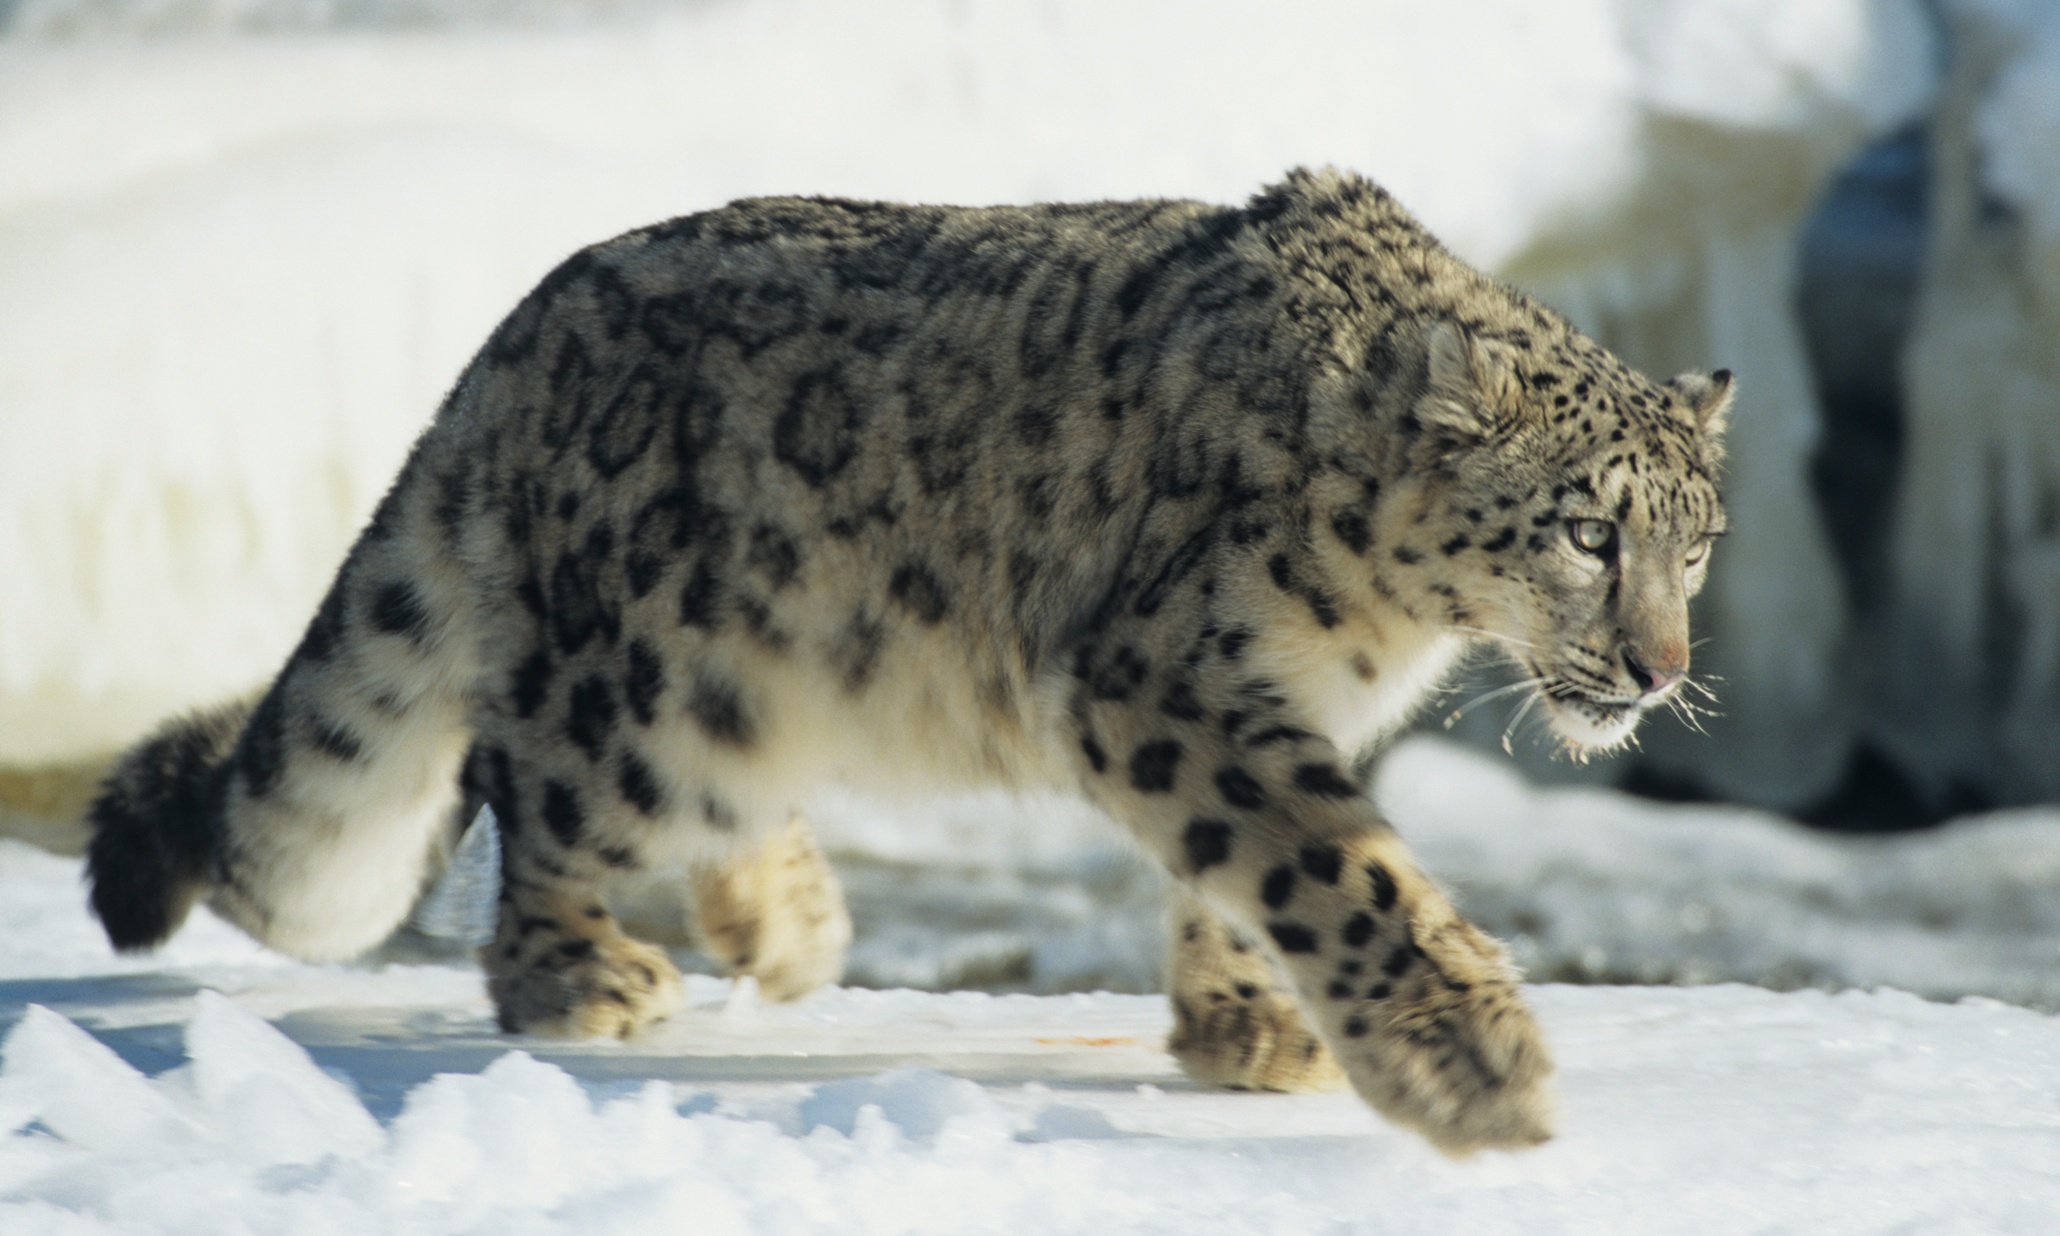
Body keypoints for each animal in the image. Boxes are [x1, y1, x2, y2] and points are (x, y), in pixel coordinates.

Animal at [81, 167, 1729, 1156]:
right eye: (1588, 533)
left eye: (1698, 543)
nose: (1657, 670)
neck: (1390, 633)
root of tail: (509, 345)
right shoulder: (1167, 678)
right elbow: (1334, 860)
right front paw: (1473, 1063)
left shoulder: (1282, 708)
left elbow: (1236, 871)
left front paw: (1249, 1022)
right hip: (637, 695)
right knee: (527, 778)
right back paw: (582, 976)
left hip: (736, 691)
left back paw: (787, 921)